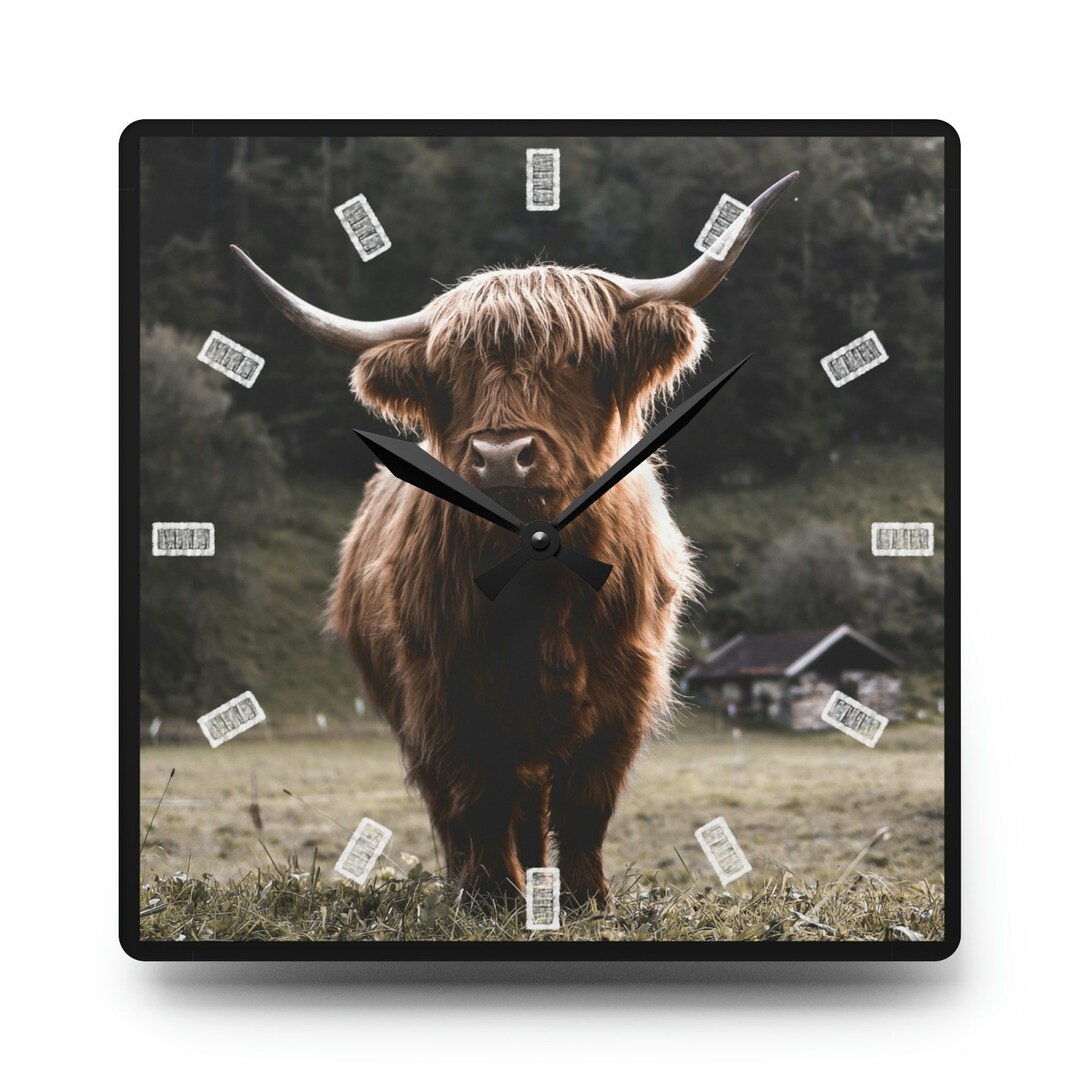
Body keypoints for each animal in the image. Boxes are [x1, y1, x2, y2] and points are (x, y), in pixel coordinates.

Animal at [232, 171, 796, 907]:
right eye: (449, 375)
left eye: (574, 360)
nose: (501, 456)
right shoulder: (445, 693)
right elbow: (478, 798)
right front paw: (492, 895)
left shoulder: (624, 695)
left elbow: (588, 804)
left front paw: (585, 897)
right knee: (458, 808)